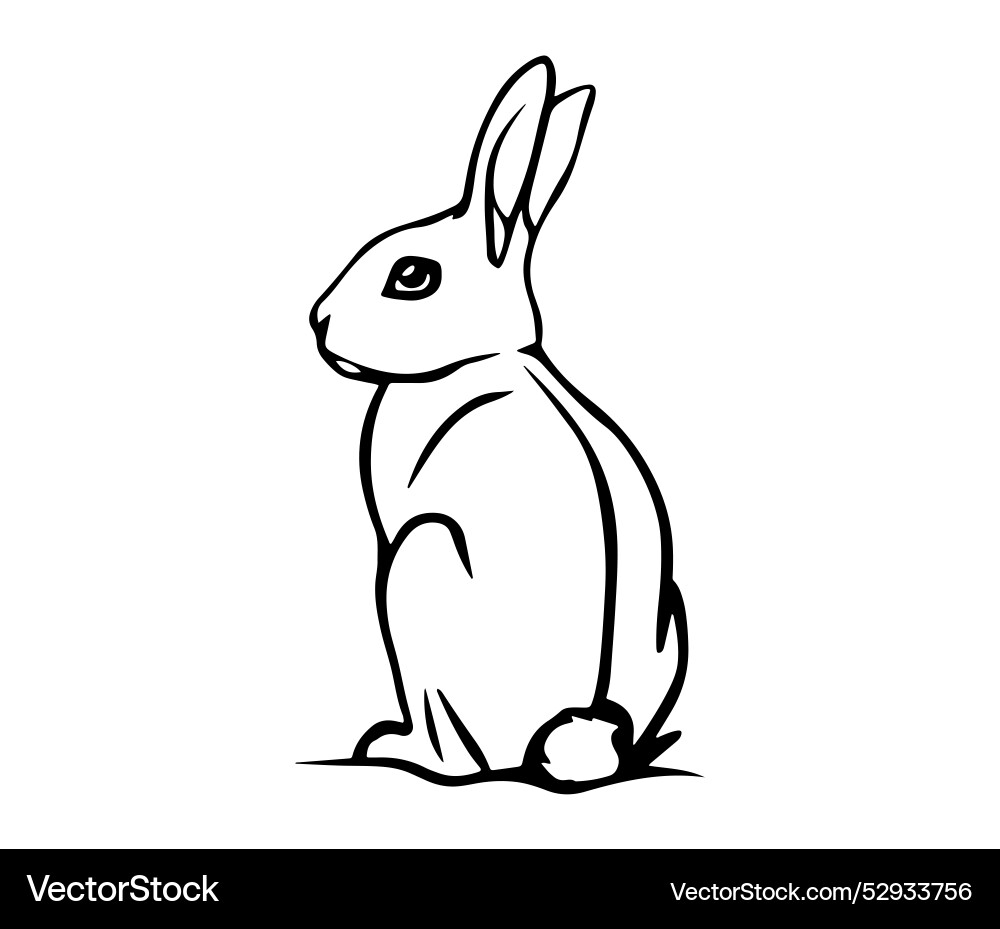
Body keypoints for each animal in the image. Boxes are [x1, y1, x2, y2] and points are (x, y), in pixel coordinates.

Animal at [309, 57, 689, 791]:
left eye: (412, 276)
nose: (318, 320)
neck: (479, 353)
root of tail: (577, 726)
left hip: (419, 564)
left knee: (468, 758)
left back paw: (396, 746)